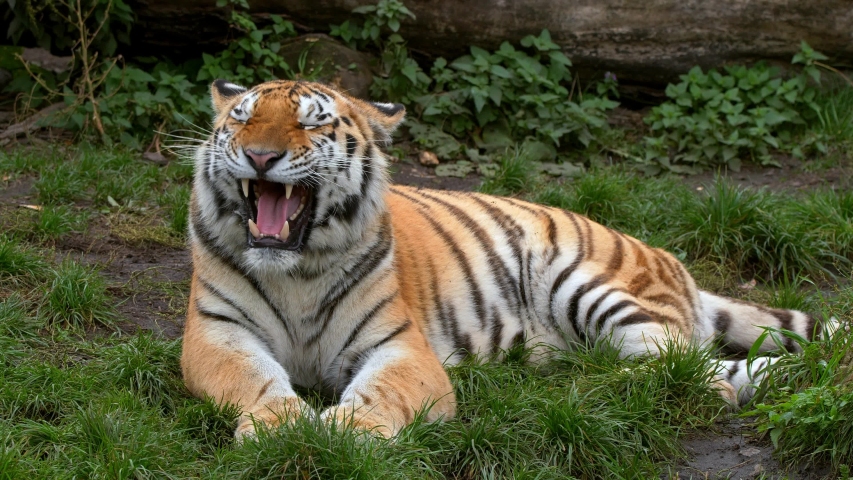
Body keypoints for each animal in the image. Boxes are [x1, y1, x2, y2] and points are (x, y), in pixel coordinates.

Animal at [181, 78, 834, 439]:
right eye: (242, 118)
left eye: (311, 124)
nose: (260, 157)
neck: (295, 273)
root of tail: (676, 265)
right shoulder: (216, 335)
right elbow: (254, 380)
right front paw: (283, 427)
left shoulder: (400, 345)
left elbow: (381, 393)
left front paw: (345, 432)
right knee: (721, 372)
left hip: (588, 285)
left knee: (683, 370)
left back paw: (572, 388)